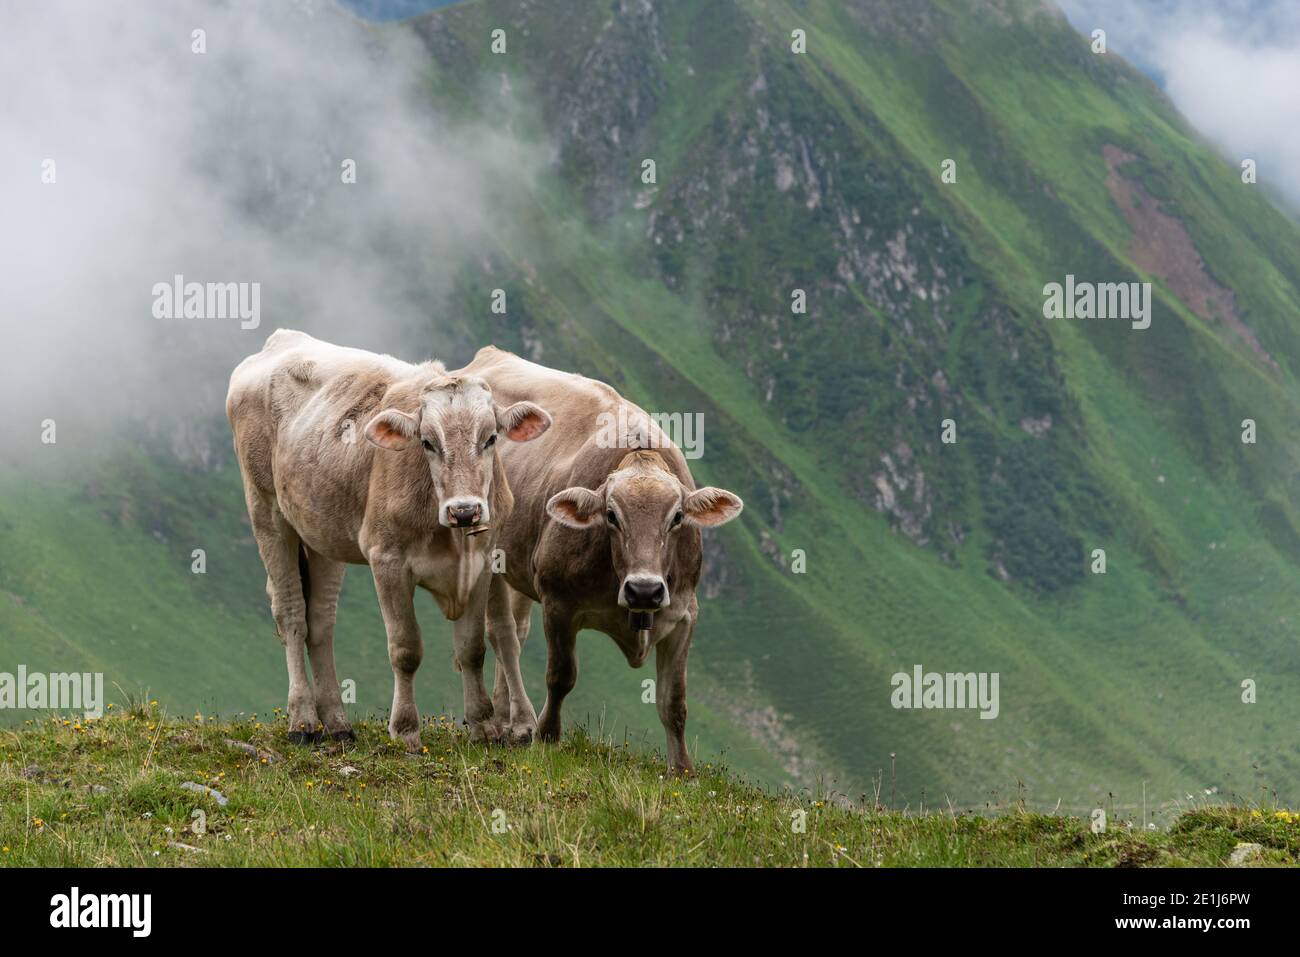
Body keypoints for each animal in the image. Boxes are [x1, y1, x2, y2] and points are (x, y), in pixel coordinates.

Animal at [226, 330, 551, 750]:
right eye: (427, 442)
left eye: (491, 438)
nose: (465, 510)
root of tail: (283, 339)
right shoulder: (388, 561)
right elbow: (406, 649)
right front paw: (406, 729)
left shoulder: (480, 563)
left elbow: (472, 648)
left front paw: (483, 726)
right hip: (267, 510)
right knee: (291, 612)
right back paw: (303, 721)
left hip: (323, 533)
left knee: (321, 620)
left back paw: (337, 722)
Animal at [462, 346, 743, 772]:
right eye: (612, 515)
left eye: (677, 517)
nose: (644, 590)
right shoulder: (559, 603)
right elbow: (561, 676)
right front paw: (547, 737)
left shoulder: (684, 615)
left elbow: (674, 701)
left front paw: (682, 770)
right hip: (489, 554)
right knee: (503, 634)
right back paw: (518, 723)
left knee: (517, 631)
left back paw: (509, 719)